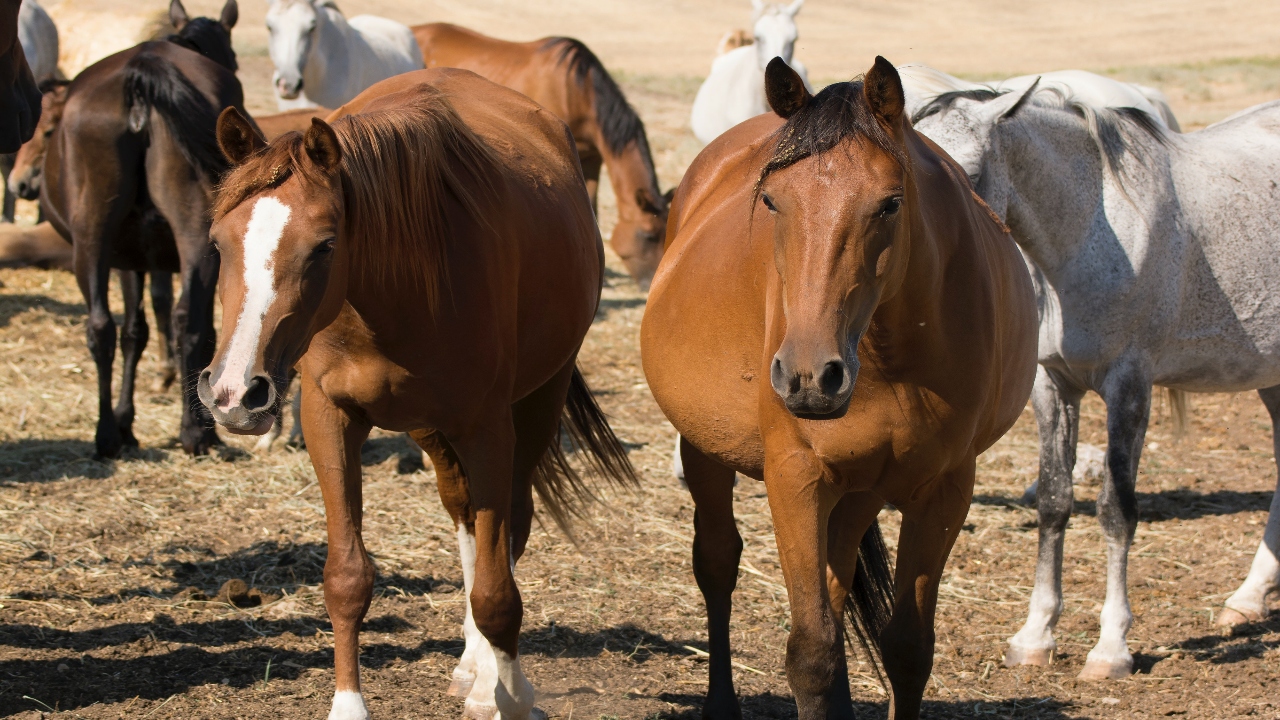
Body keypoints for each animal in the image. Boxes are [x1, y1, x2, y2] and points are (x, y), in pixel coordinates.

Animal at [200, 67, 638, 720]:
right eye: (218, 242)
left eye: (325, 245)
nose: (235, 392)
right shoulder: (329, 418)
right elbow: (347, 578)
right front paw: (349, 706)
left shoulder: (489, 429)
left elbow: (497, 591)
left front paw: (507, 694)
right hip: (431, 429)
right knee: (464, 517)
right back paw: (471, 663)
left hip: (536, 402)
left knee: (508, 526)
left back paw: (491, 677)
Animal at [642, 57, 1038, 719]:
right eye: (771, 200)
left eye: (890, 204)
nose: (809, 376)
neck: (887, 359)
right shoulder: (796, 479)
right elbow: (811, 652)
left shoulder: (943, 492)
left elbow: (907, 648)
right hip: (706, 451)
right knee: (718, 562)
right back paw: (720, 700)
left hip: (859, 492)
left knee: (836, 577)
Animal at [910, 77, 1280, 679]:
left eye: (966, 172)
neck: (1087, 240)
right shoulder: (1053, 385)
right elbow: (1054, 500)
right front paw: (1035, 636)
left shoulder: (1128, 385)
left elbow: (1115, 510)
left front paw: (1111, 647)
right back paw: (1247, 600)